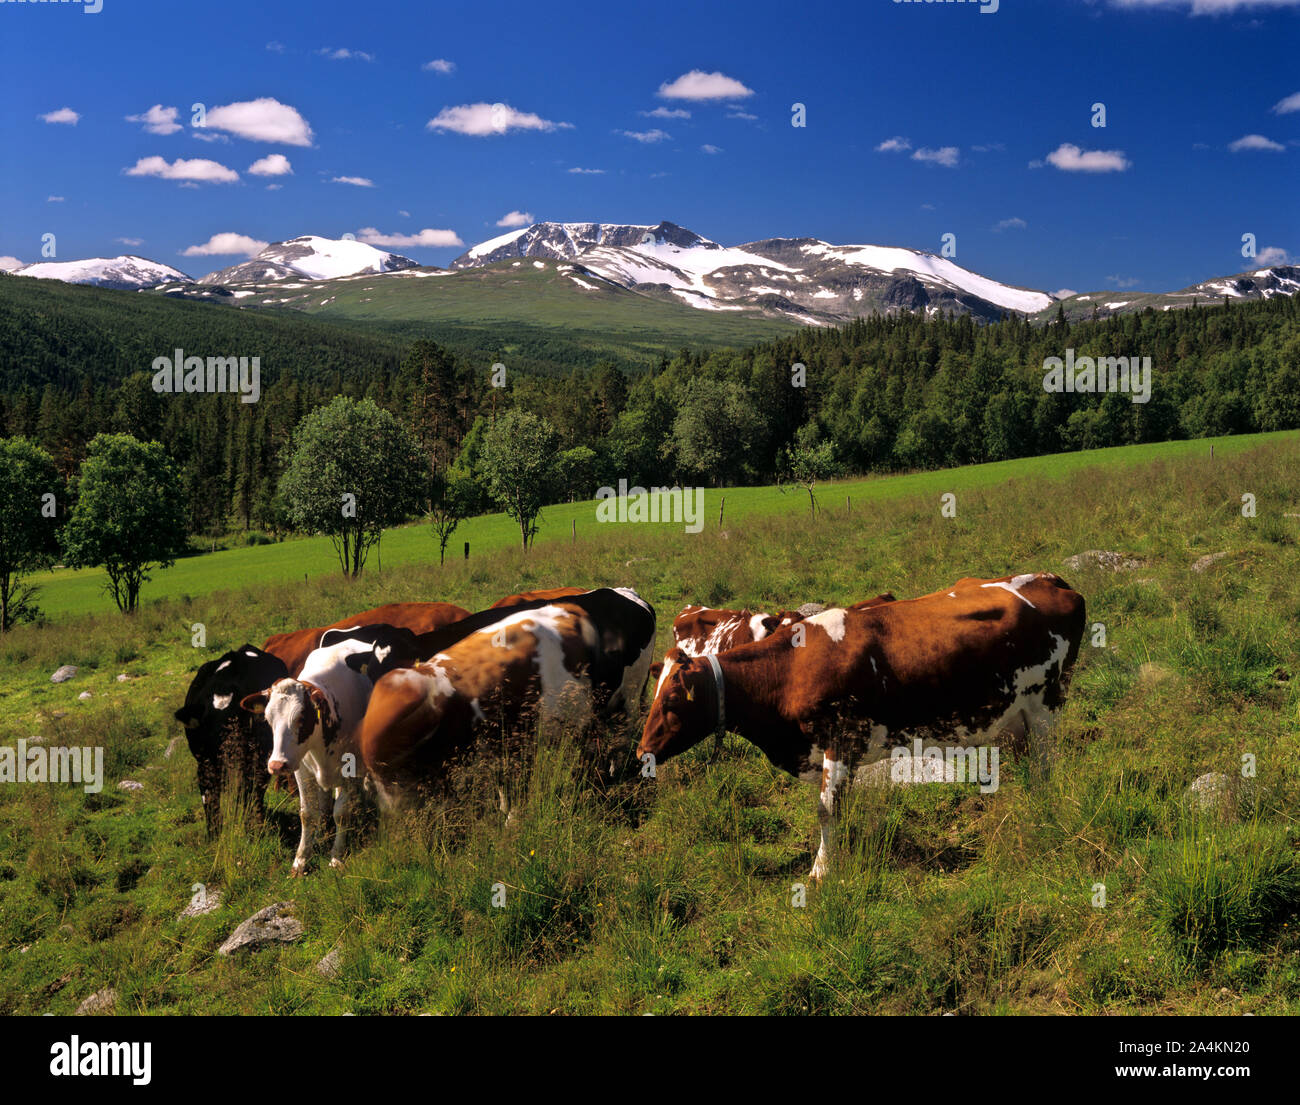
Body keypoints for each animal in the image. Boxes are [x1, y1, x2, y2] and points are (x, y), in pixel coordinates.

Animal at [173, 645, 288, 836]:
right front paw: (214, 838)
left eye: (240, 722)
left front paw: (252, 831)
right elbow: (210, 803)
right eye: (207, 727)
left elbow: (250, 796)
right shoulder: (204, 765)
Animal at [240, 624, 420, 874]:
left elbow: (342, 813)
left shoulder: (351, 771)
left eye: (302, 717)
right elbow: (308, 813)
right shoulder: (302, 769)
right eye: (268, 718)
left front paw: (336, 857)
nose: (276, 765)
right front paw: (301, 859)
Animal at [638, 574, 1086, 881]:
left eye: (672, 702)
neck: (791, 668)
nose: (642, 752)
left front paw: (821, 871)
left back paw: (1043, 813)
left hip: (1045, 708)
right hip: (1016, 718)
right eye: (652, 699)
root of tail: (1050, 579)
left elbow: (826, 809)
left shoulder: (840, 740)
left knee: (1046, 769)